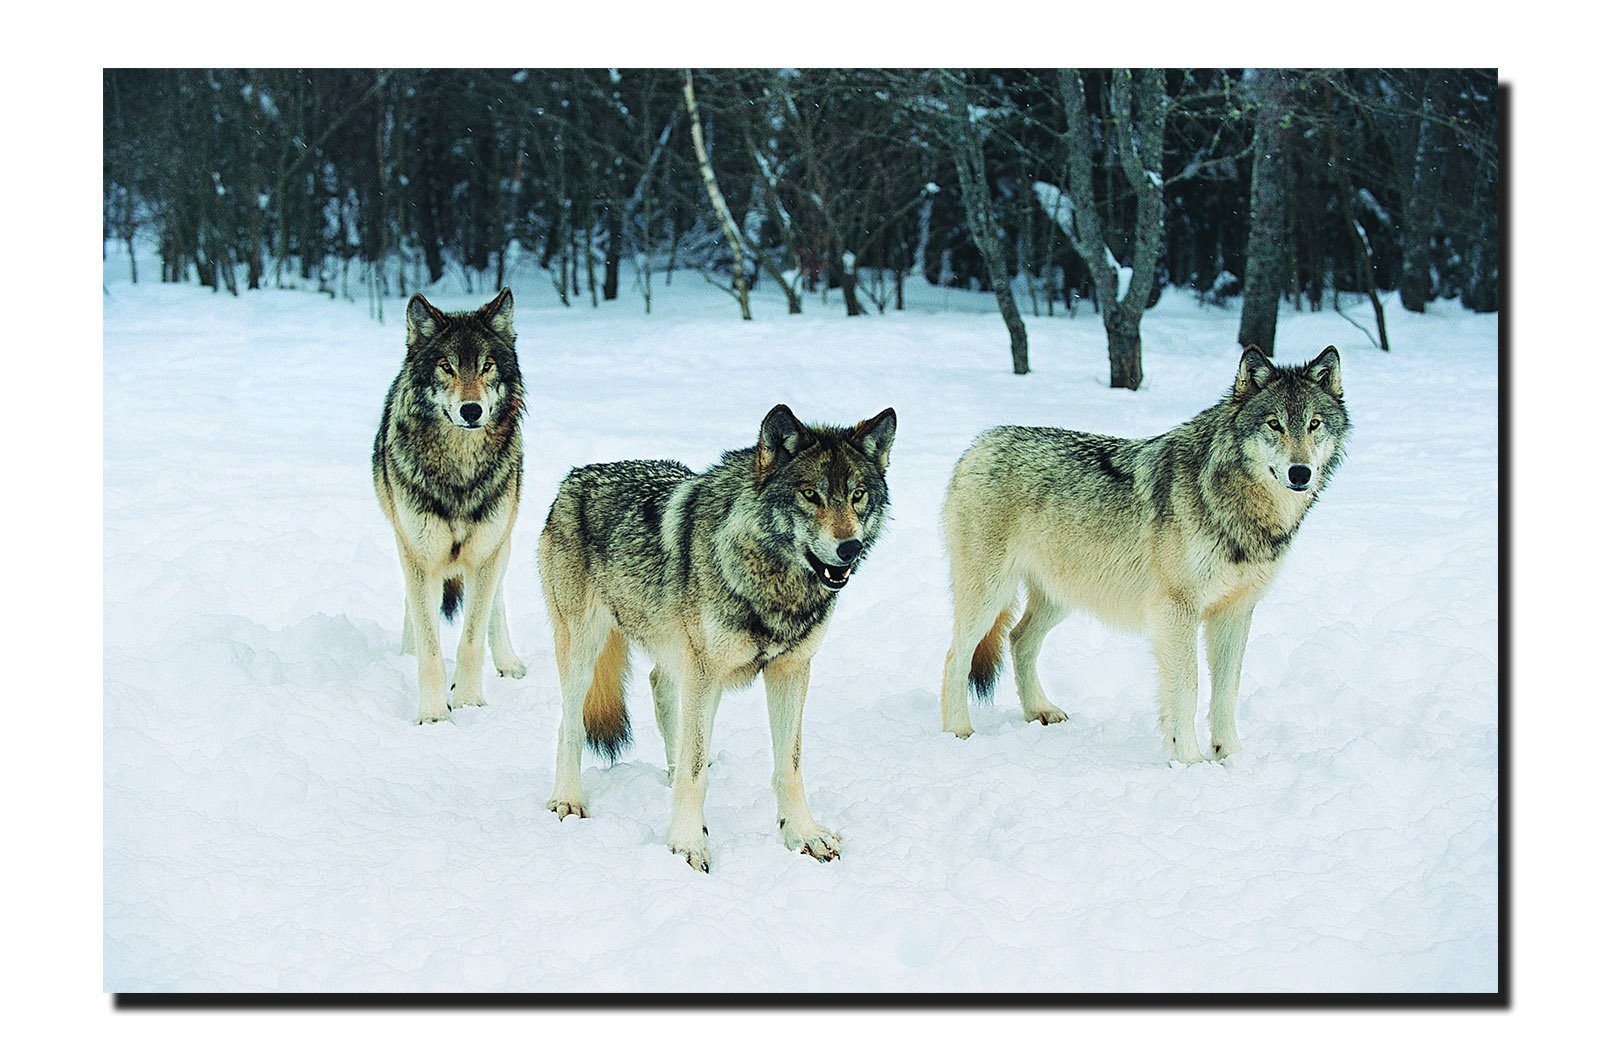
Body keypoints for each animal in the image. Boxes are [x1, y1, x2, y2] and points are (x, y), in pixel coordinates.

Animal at [372, 289, 528, 724]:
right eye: (447, 367)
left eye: (487, 366)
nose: (471, 410)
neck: (460, 468)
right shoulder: (419, 554)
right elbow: (430, 645)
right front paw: (434, 714)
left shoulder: (485, 553)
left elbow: (472, 637)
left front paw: (470, 701)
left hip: (501, 542)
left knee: (496, 602)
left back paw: (508, 662)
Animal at [539, 404, 896, 872]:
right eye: (810, 495)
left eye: (857, 495)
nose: (849, 548)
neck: (772, 580)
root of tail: (576, 476)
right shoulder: (706, 673)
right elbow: (695, 777)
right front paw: (687, 843)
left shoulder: (790, 671)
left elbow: (790, 766)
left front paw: (803, 834)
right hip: (585, 649)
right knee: (570, 723)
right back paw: (568, 799)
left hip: (673, 651)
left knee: (659, 688)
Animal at [939, 345, 1348, 762]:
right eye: (1274, 424)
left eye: (1314, 424)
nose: (1300, 473)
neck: (1233, 503)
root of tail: (981, 442)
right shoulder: (1175, 610)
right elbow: (1188, 689)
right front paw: (1190, 760)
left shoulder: (1236, 611)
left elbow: (1227, 691)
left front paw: (1231, 756)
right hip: (991, 595)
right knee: (956, 656)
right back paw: (958, 731)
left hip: (1063, 595)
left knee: (1018, 638)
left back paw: (1040, 710)